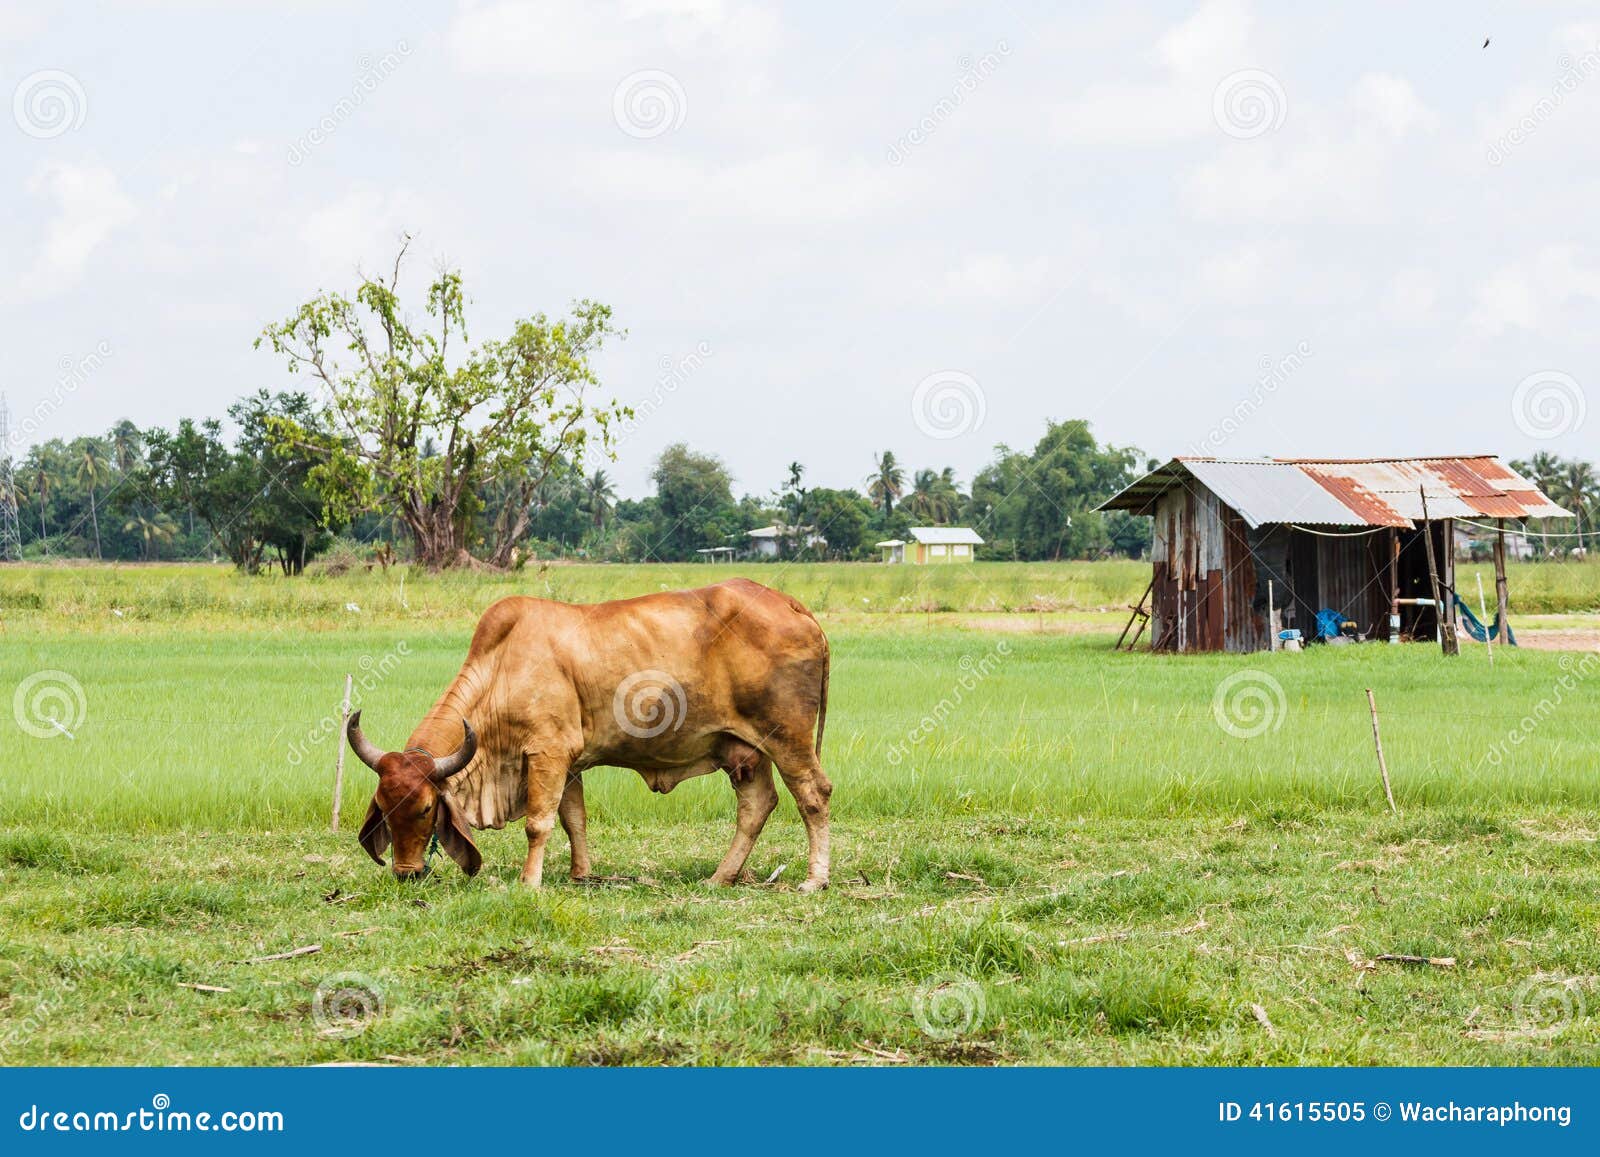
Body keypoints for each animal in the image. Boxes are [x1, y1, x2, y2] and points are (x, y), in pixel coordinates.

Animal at [343, 578, 833, 892]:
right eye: (383, 806)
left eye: (427, 808)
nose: (406, 873)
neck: (502, 668)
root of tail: (791, 604)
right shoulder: (569, 763)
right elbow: (572, 818)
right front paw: (581, 875)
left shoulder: (547, 753)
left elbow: (539, 823)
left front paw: (529, 882)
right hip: (745, 750)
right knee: (757, 805)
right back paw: (720, 877)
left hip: (788, 739)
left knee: (813, 795)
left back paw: (815, 879)